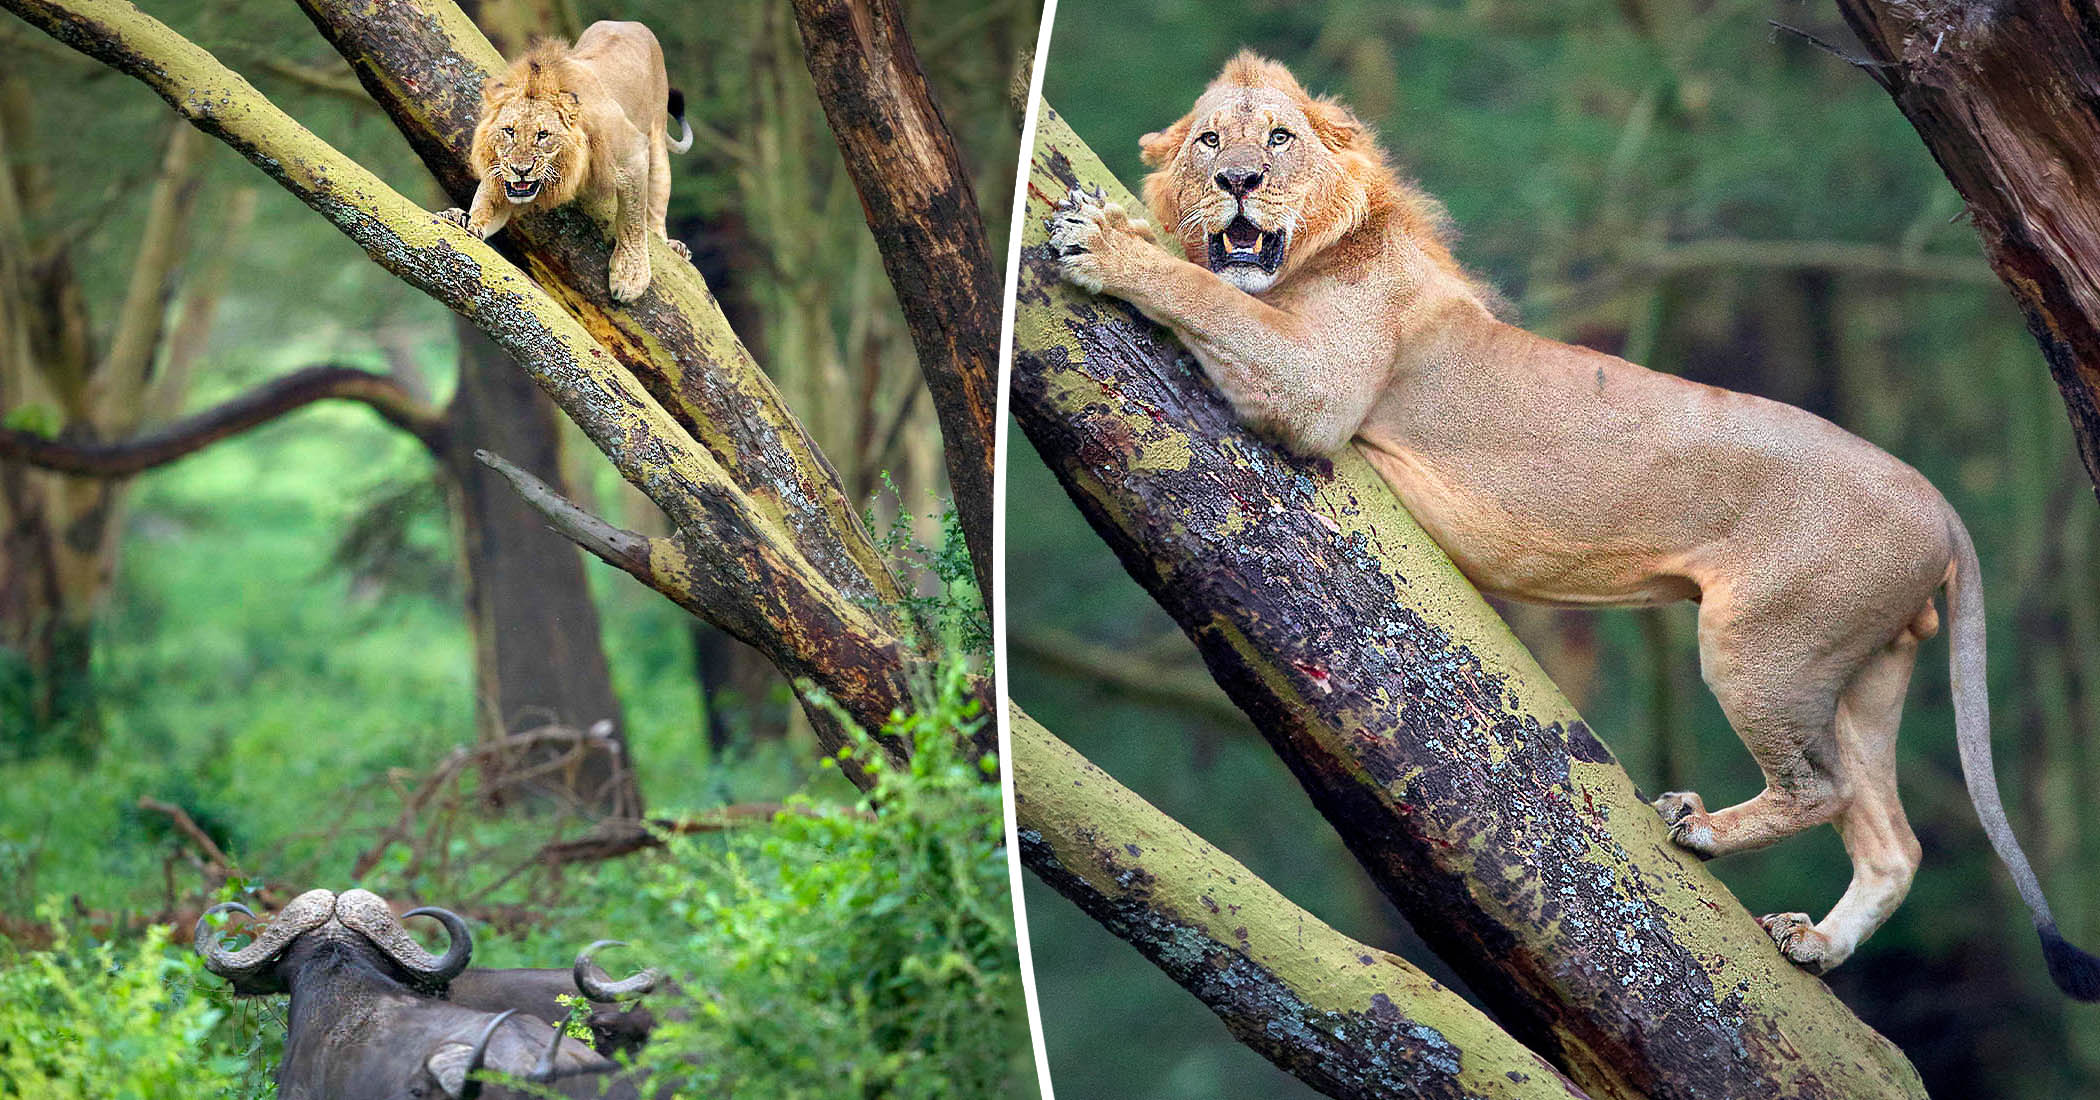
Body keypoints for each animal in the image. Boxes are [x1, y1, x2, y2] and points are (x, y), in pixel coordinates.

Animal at [442, 22, 694, 302]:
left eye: (543, 135)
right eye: (509, 131)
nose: (520, 170)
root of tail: (631, 23)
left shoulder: (634, 154)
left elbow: (632, 221)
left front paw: (630, 277)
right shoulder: (500, 176)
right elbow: (486, 207)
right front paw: (467, 220)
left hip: (658, 134)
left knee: (656, 208)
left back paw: (673, 245)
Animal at [1048, 50, 2100, 998]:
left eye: (1279, 139)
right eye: (1208, 142)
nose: (1238, 183)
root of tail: (1941, 505)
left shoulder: (1318, 390)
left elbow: (1206, 293)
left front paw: (1105, 243)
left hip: (1763, 643)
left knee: (1826, 787)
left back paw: (1701, 827)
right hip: (1869, 666)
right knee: (1894, 841)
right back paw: (1816, 944)